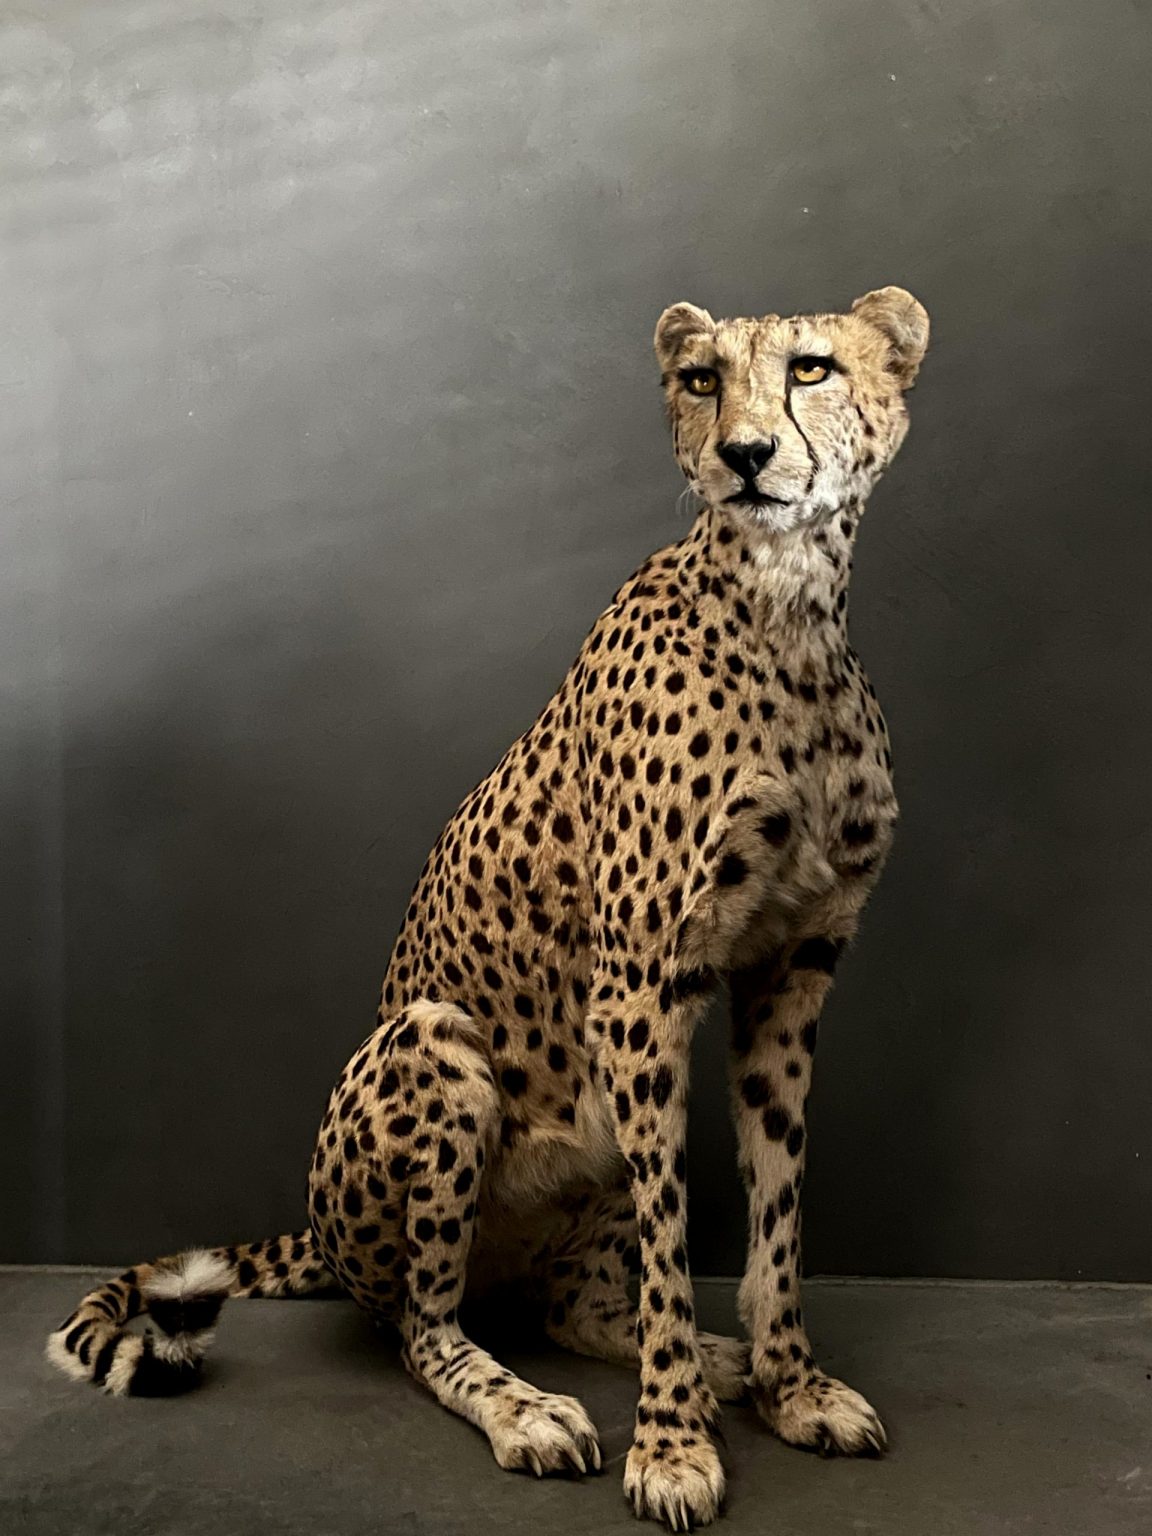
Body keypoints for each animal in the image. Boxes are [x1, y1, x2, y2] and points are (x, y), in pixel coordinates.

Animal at [47, 285, 930, 1529]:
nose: (745, 456)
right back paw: (527, 1405)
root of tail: (326, 1235)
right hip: (433, 1047)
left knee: (569, 1304)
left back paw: (719, 1365)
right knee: (422, 1325)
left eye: (812, 369)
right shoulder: (637, 991)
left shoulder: (789, 974)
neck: (787, 612)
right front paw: (671, 1446)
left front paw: (789, 1384)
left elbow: (776, 1211)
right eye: (702, 380)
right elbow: (674, 1237)